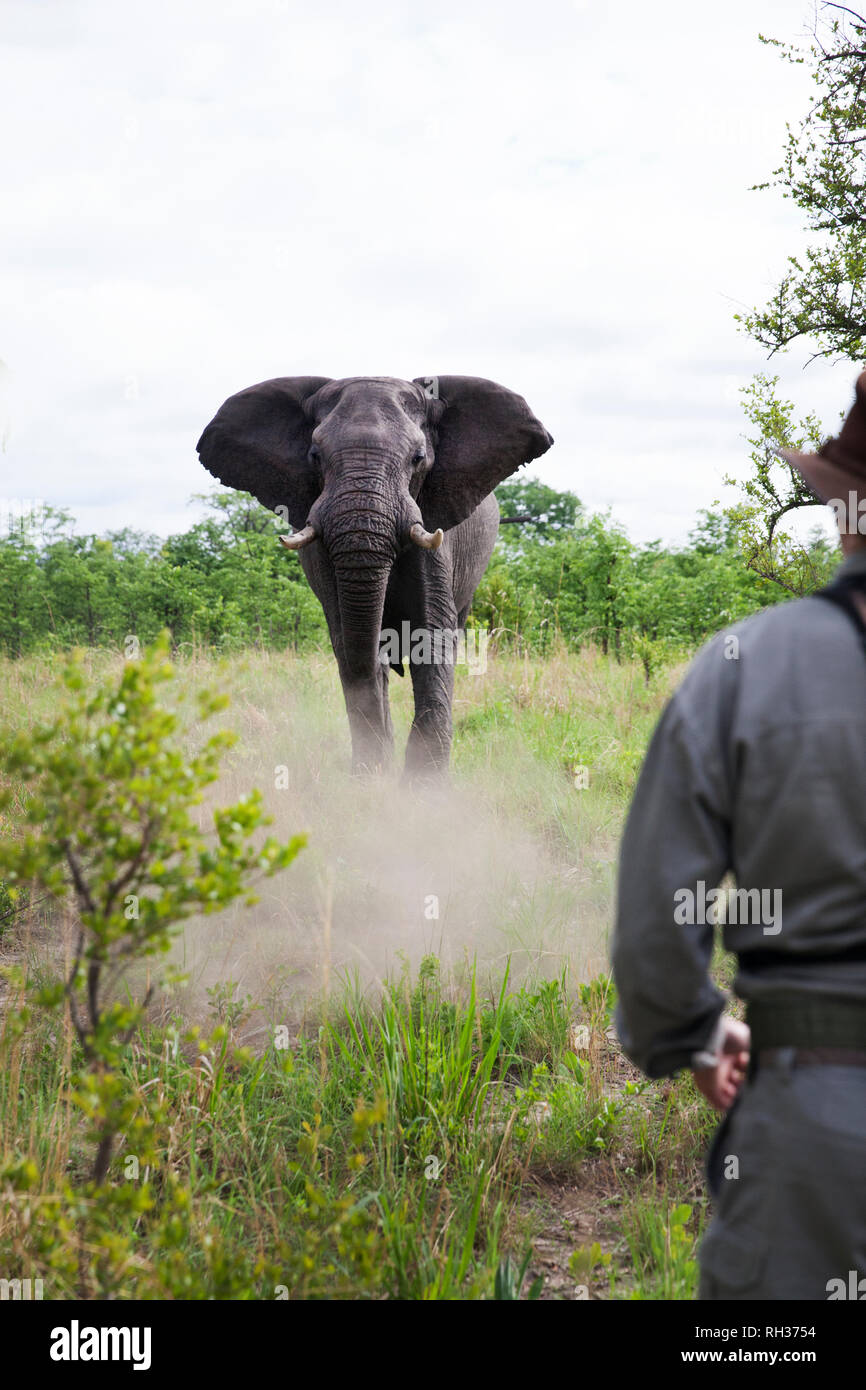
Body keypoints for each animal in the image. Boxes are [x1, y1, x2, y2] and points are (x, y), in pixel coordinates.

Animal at [197, 375, 553, 776]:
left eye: (418, 458)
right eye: (314, 456)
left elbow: (432, 633)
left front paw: (424, 785)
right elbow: (347, 636)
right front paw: (370, 777)